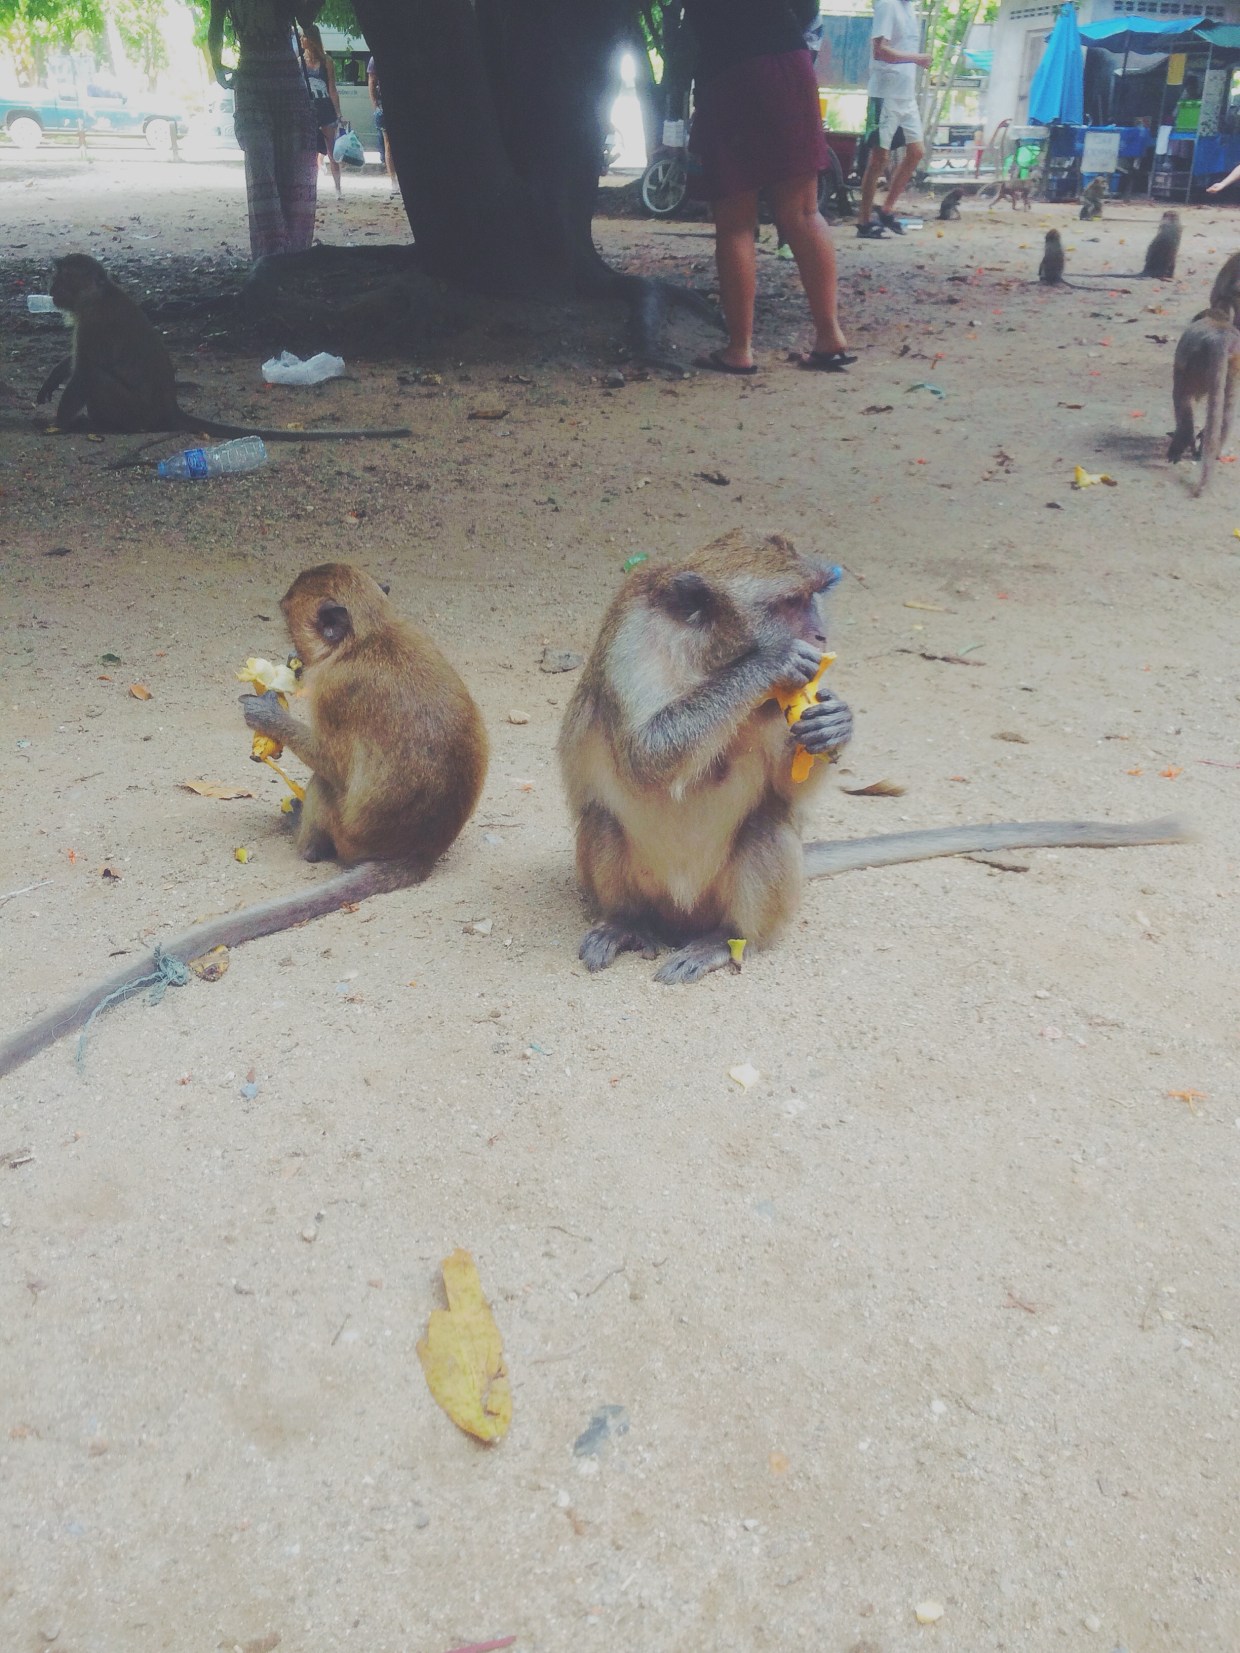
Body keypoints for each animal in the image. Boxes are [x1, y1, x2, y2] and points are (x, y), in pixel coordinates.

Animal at [0, 564, 488, 1079]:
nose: (294, 657)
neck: (373, 634)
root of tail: (418, 853)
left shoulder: (335, 689)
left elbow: (331, 763)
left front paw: (267, 713)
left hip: (347, 833)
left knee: (324, 781)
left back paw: (303, 838)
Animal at [34, 255, 412, 442]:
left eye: (64, 277)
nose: (51, 288)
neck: (97, 296)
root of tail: (169, 408)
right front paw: (52, 377)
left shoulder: (96, 323)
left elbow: (84, 371)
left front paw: (58, 422)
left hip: (133, 409)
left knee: (97, 378)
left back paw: (103, 423)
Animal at [556, 532, 1191, 986]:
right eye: (790, 603)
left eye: (815, 597)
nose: (820, 633)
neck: (703, 657)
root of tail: (682, 918)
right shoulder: (633, 643)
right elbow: (647, 755)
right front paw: (767, 661)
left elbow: (784, 791)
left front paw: (837, 724)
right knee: (603, 821)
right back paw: (627, 923)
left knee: (767, 829)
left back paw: (729, 940)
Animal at [1167, 304, 1240, 494]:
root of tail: (1223, 338)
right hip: (1233, 366)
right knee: (1227, 411)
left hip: (1197, 362)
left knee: (1182, 395)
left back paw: (1182, 442)